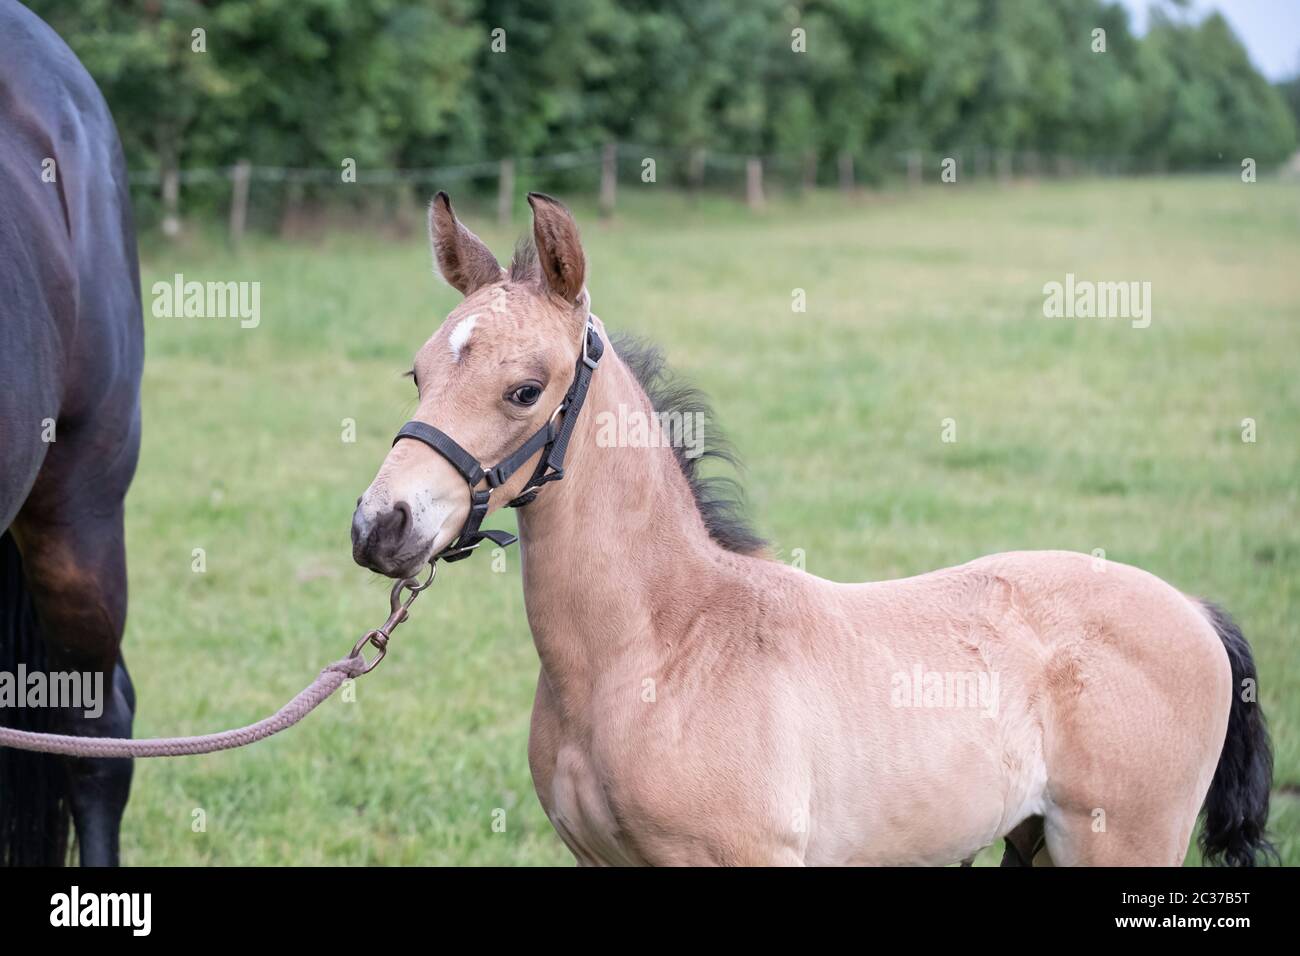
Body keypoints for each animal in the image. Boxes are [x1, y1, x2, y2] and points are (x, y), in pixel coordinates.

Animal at [351, 191, 1275, 866]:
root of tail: (1195, 613)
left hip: (1118, 843)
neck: (661, 649)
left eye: (526, 389)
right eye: (418, 373)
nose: (379, 526)